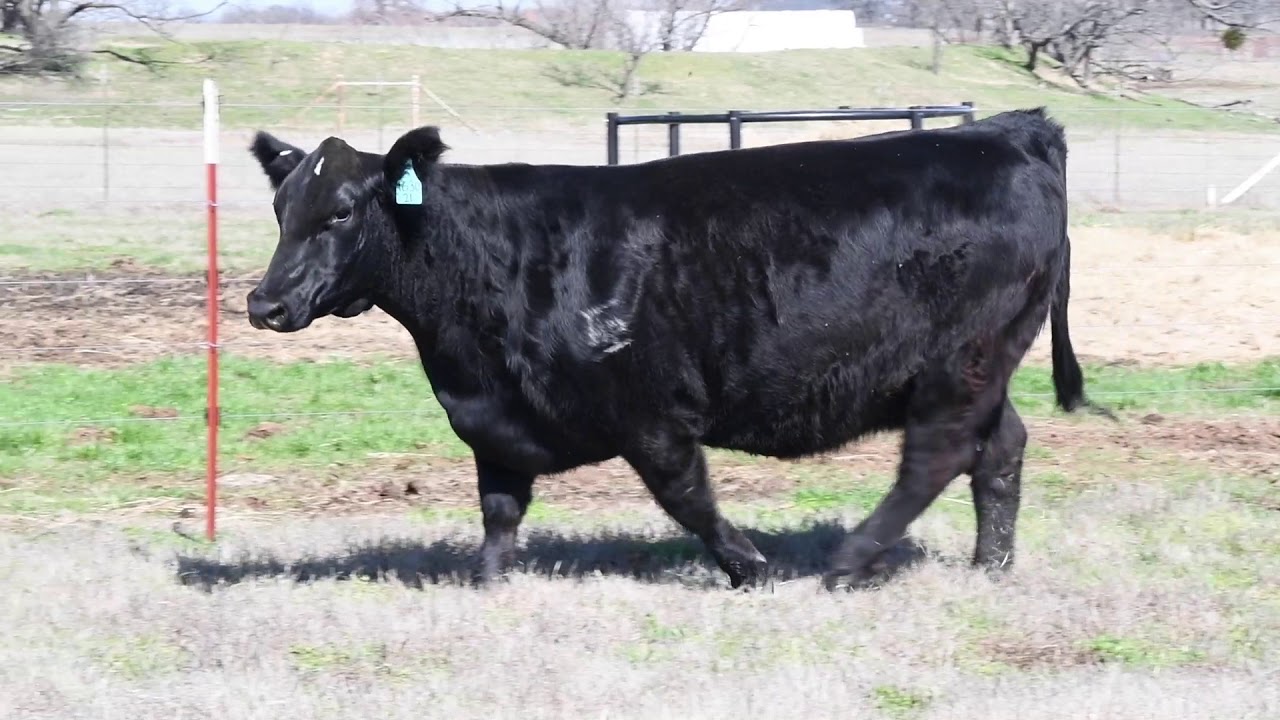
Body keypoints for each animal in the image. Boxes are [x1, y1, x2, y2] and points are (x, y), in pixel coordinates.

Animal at [245, 108, 1103, 591]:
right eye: (282, 208)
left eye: (341, 212)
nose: (264, 302)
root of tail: (1008, 132)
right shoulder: (493, 421)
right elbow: (499, 512)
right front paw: (484, 588)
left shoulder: (651, 413)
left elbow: (687, 497)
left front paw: (750, 568)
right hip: (983, 369)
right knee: (1000, 449)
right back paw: (990, 566)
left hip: (956, 365)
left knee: (934, 456)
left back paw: (849, 560)